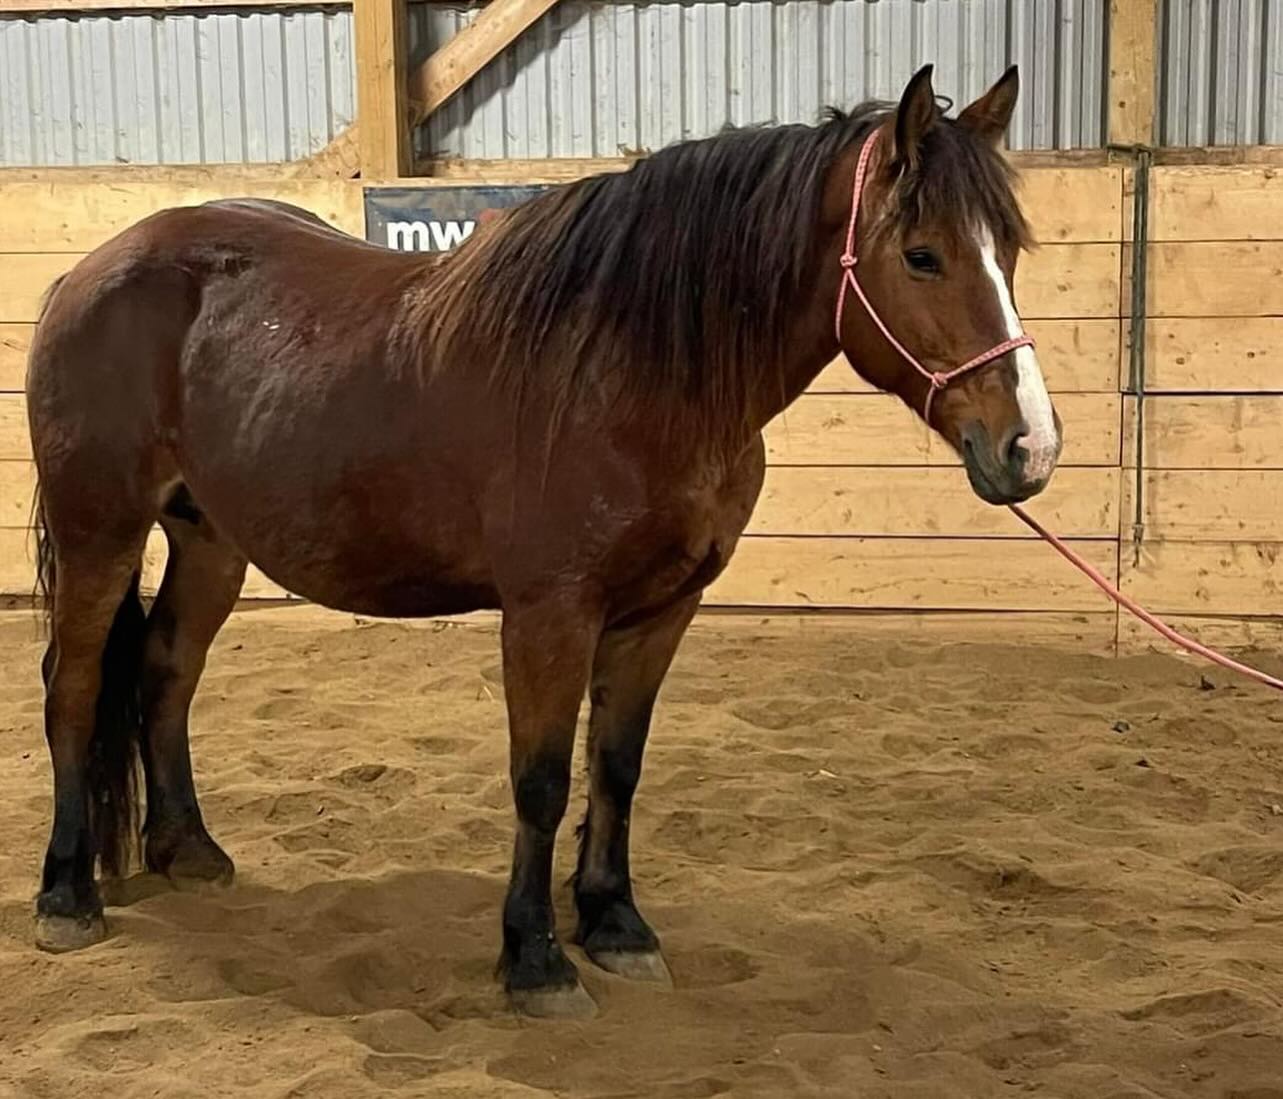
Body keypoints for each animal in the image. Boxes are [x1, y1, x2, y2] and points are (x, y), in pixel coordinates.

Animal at [24, 63, 1062, 1017]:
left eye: (1007, 249)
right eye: (922, 256)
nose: (1029, 447)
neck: (630, 374)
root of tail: (91, 269)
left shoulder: (659, 612)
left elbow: (616, 766)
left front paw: (614, 923)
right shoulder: (549, 615)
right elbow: (541, 779)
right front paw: (534, 957)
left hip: (209, 540)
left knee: (165, 669)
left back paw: (187, 850)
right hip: (99, 529)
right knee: (73, 684)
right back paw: (67, 893)